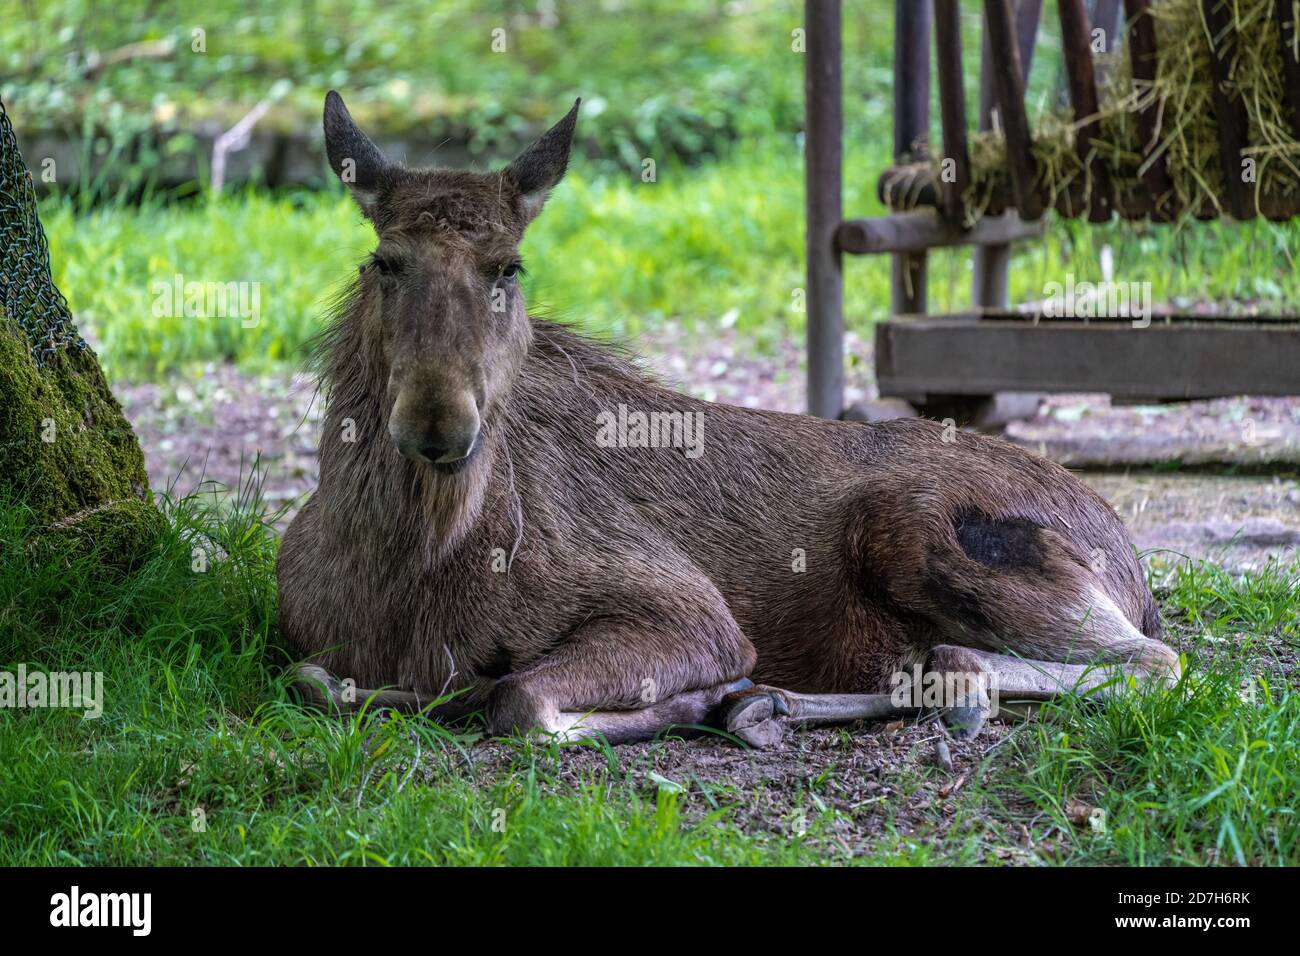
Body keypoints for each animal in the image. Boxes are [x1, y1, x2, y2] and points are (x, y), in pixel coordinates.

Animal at [276, 92, 1181, 748]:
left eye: (510, 266)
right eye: (384, 261)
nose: (438, 419)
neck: (410, 564)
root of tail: (1136, 570)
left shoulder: (691, 614)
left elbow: (520, 700)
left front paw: (698, 699)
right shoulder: (313, 644)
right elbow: (319, 682)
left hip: (928, 534)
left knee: (1156, 660)